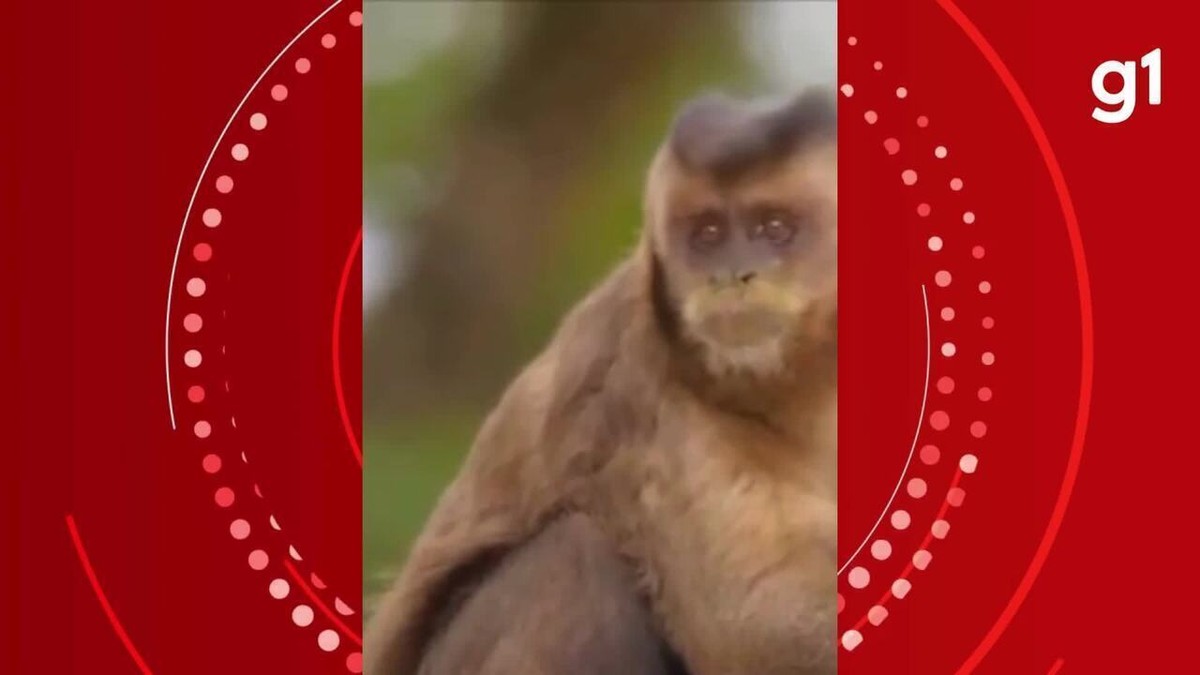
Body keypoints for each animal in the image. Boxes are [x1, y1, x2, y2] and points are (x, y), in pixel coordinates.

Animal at [365, 89, 837, 675]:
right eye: (707, 234)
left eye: (774, 228)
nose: (730, 275)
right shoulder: (644, 386)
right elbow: (751, 626)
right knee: (575, 554)